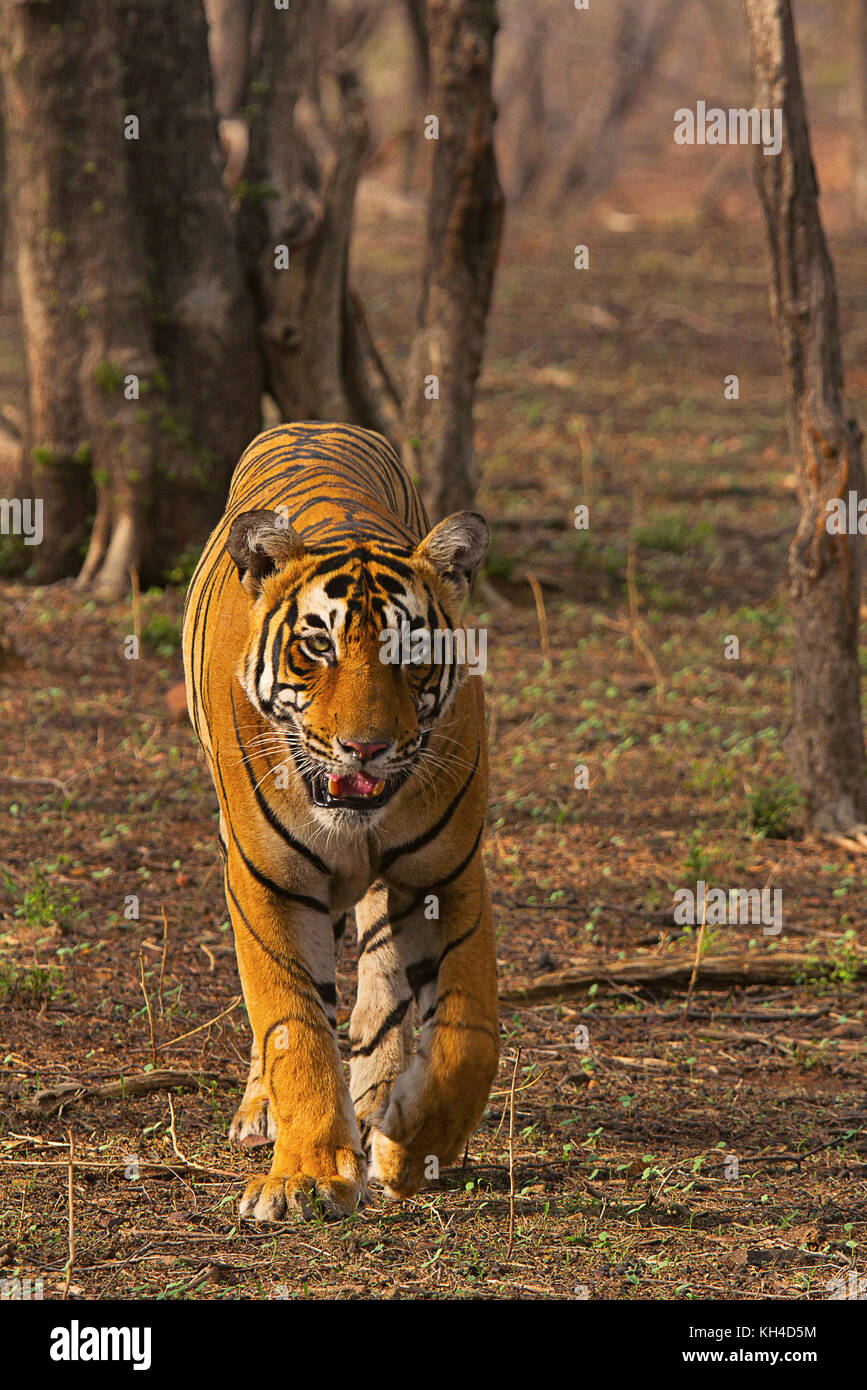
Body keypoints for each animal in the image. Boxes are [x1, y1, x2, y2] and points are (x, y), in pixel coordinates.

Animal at [182, 422, 499, 1222]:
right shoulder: (267, 879)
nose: (365, 746)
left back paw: (379, 1095)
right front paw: (305, 1177)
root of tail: (314, 422)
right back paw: (265, 1112)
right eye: (317, 646)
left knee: (381, 983)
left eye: (410, 652)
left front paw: (408, 1147)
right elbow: (292, 1024)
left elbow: (468, 1035)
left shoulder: (447, 873)